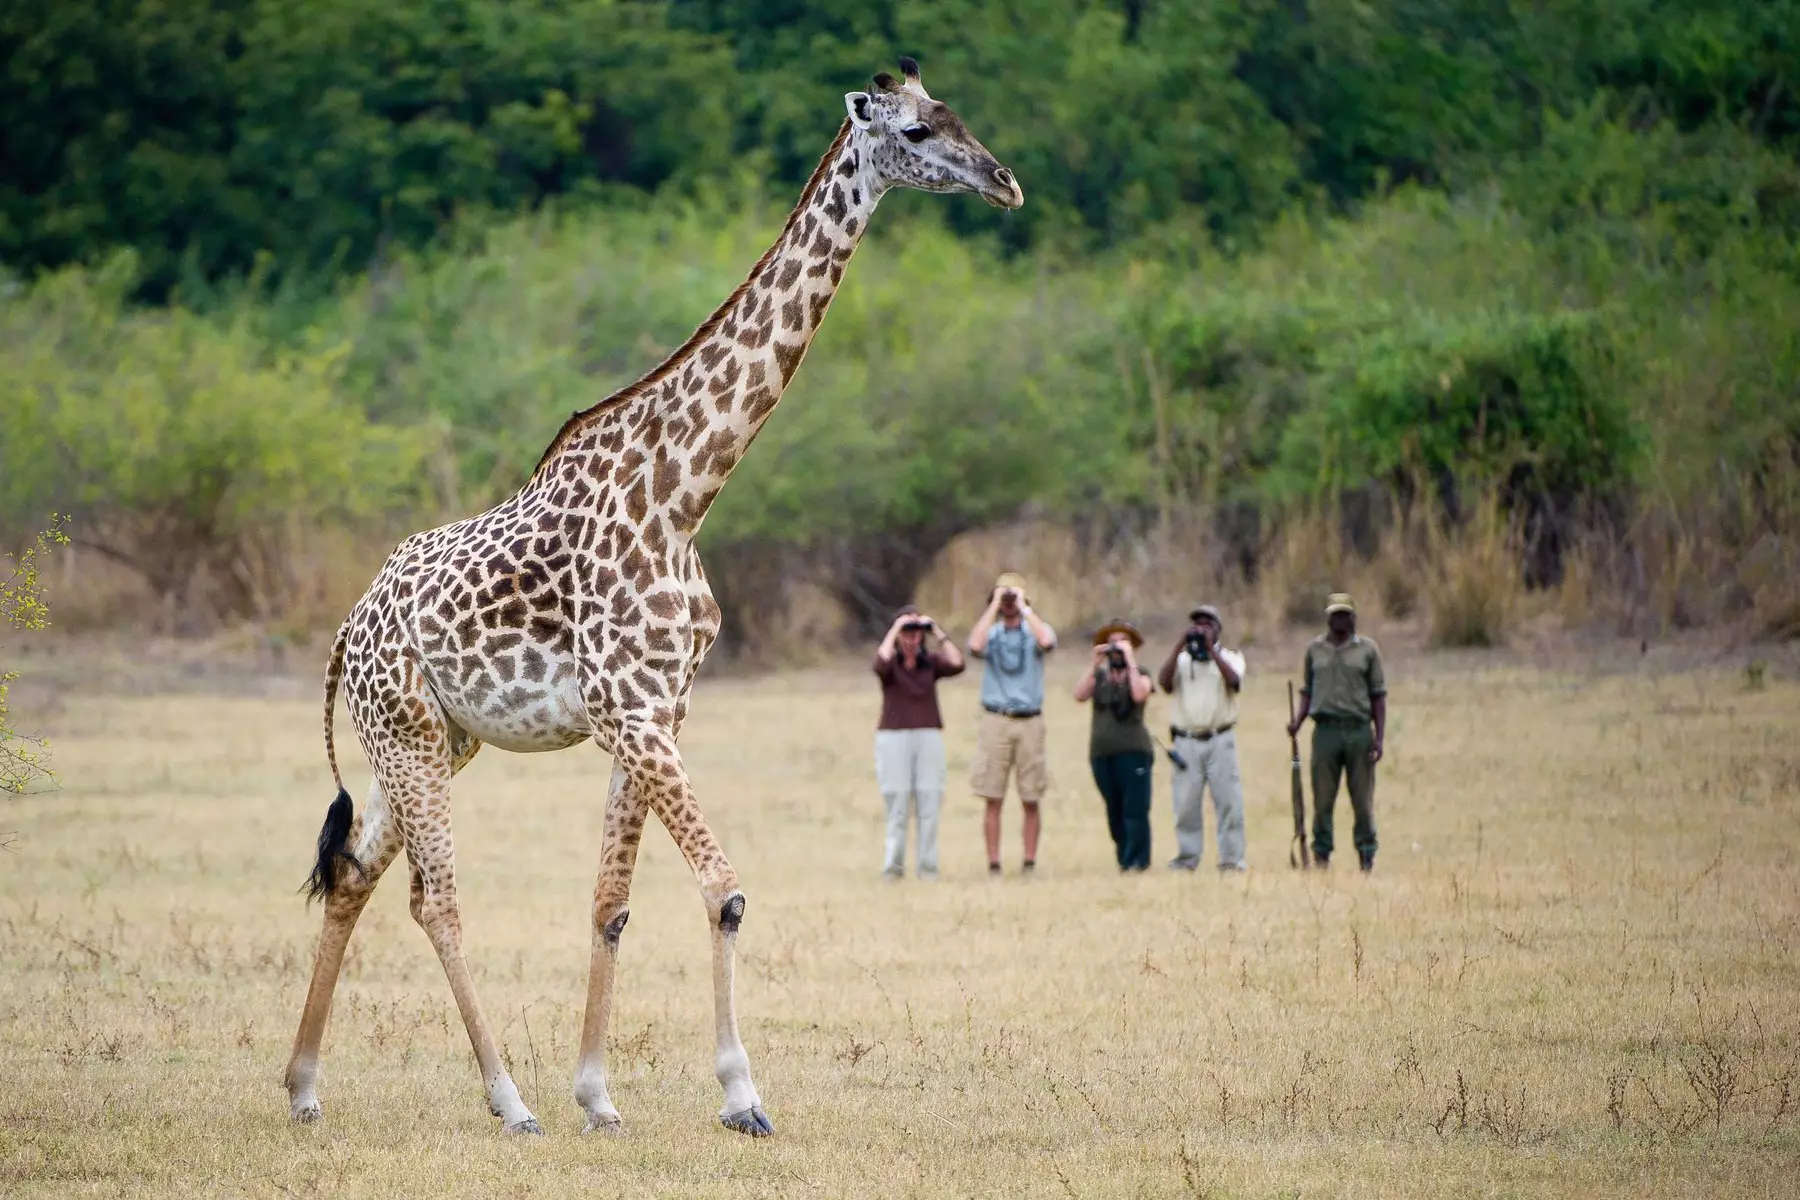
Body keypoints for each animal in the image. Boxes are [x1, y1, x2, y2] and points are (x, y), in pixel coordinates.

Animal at [279, 58, 1015, 1144]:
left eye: (955, 113)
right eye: (918, 131)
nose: (1005, 183)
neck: (684, 492)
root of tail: (347, 627)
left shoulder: (659, 709)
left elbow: (611, 902)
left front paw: (599, 1093)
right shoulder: (630, 711)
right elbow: (724, 890)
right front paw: (742, 1097)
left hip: (426, 741)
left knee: (354, 875)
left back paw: (303, 1086)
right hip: (408, 738)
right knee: (435, 899)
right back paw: (508, 1101)